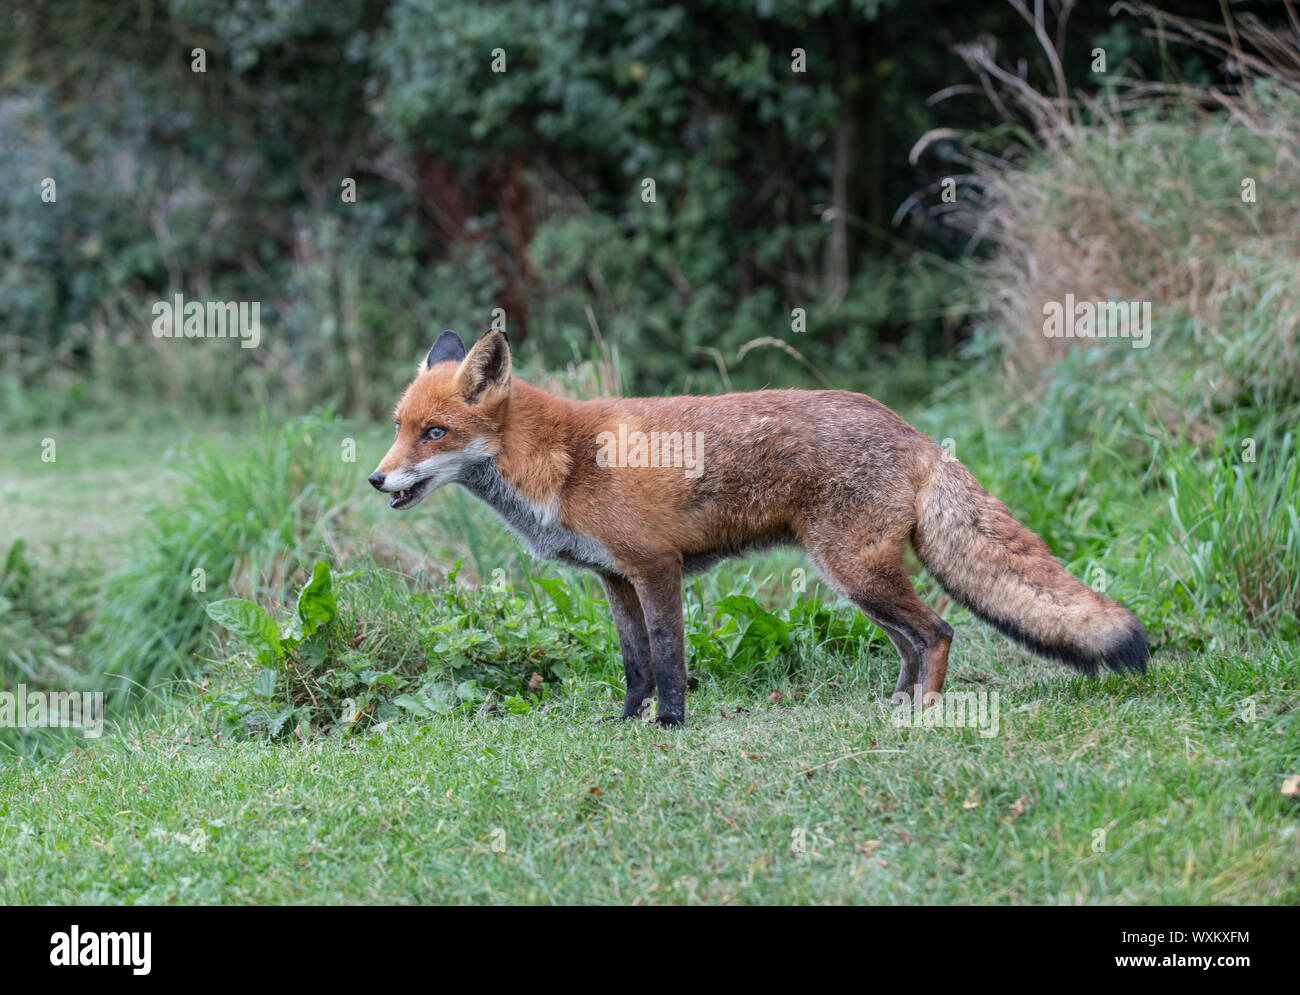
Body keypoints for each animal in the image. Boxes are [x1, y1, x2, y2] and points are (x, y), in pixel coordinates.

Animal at [369, 328, 1148, 726]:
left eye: (434, 433)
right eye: (399, 427)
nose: (377, 480)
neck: (561, 460)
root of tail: (914, 432)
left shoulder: (655, 567)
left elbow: (668, 658)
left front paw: (670, 725)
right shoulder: (614, 579)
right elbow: (634, 662)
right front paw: (626, 721)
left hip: (855, 570)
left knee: (939, 632)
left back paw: (922, 715)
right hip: (853, 577)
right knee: (913, 639)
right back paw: (896, 701)